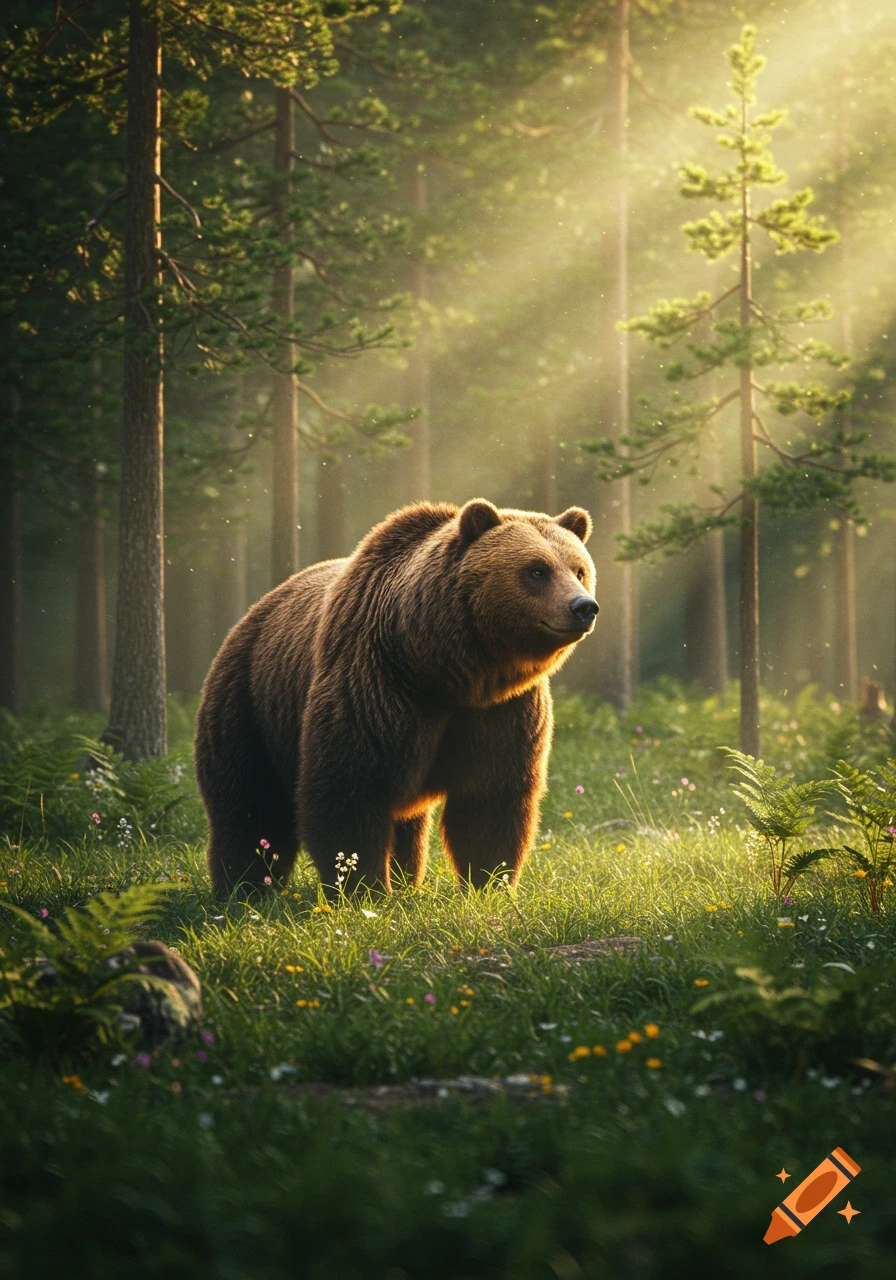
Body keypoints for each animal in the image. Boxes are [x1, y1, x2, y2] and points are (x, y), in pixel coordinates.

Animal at [194, 499, 598, 898]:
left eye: (578, 570)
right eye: (537, 570)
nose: (583, 607)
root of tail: (256, 610)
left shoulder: (501, 709)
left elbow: (490, 797)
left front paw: (487, 883)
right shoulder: (376, 685)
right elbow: (349, 788)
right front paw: (363, 888)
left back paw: (406, 879)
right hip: (250, 704)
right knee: (250, 806)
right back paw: (244, 888)